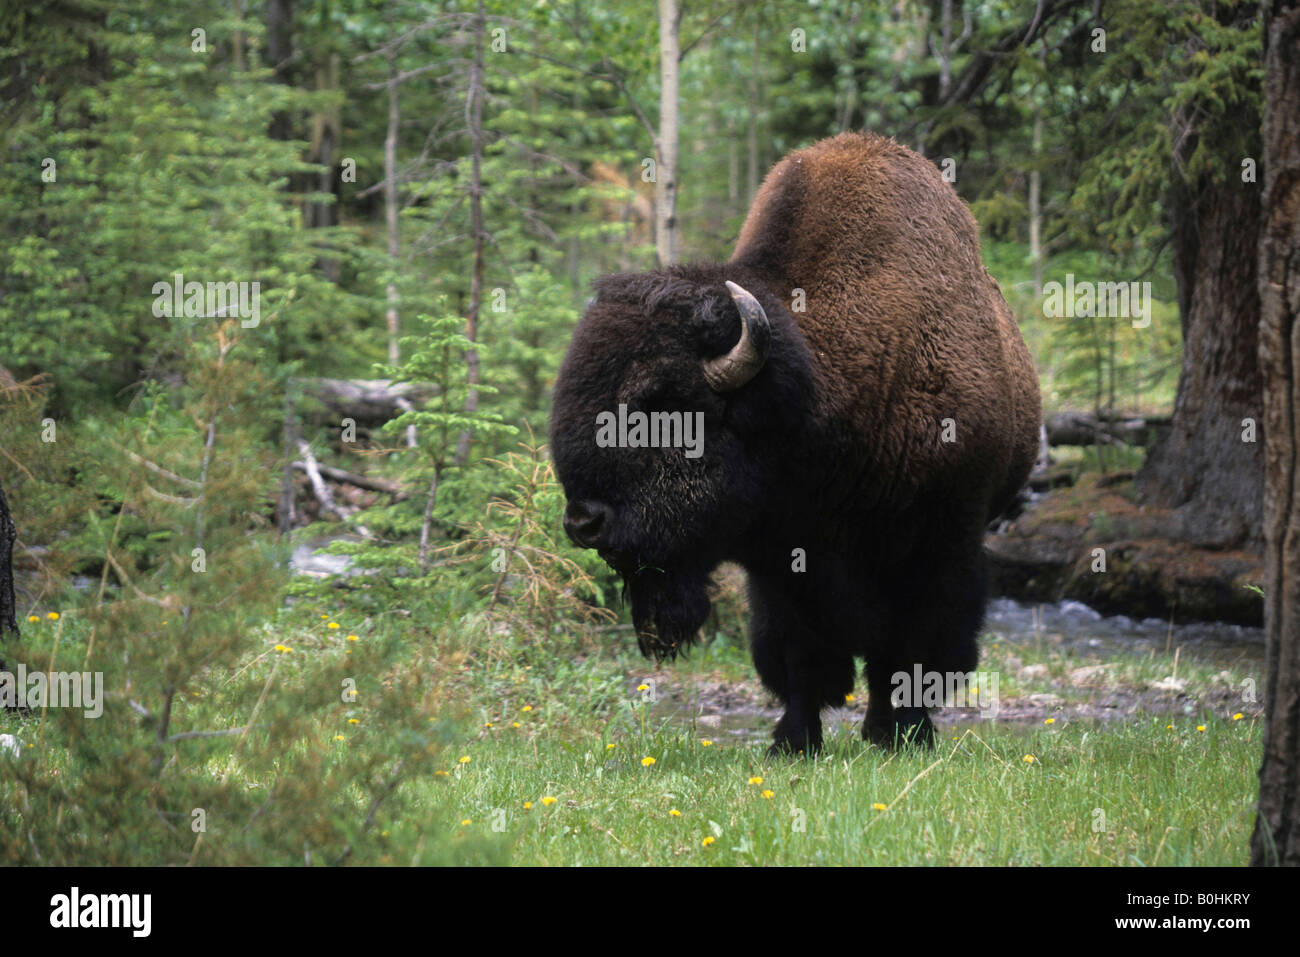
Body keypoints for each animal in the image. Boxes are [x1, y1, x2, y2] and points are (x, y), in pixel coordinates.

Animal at [550, 132, 1041, 754]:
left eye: (662, 403)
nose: (583, 522)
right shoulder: (781, 569)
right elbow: (797, 658)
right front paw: (792, 742)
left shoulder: (942, 543)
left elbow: (914, 653)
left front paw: (903, 735)